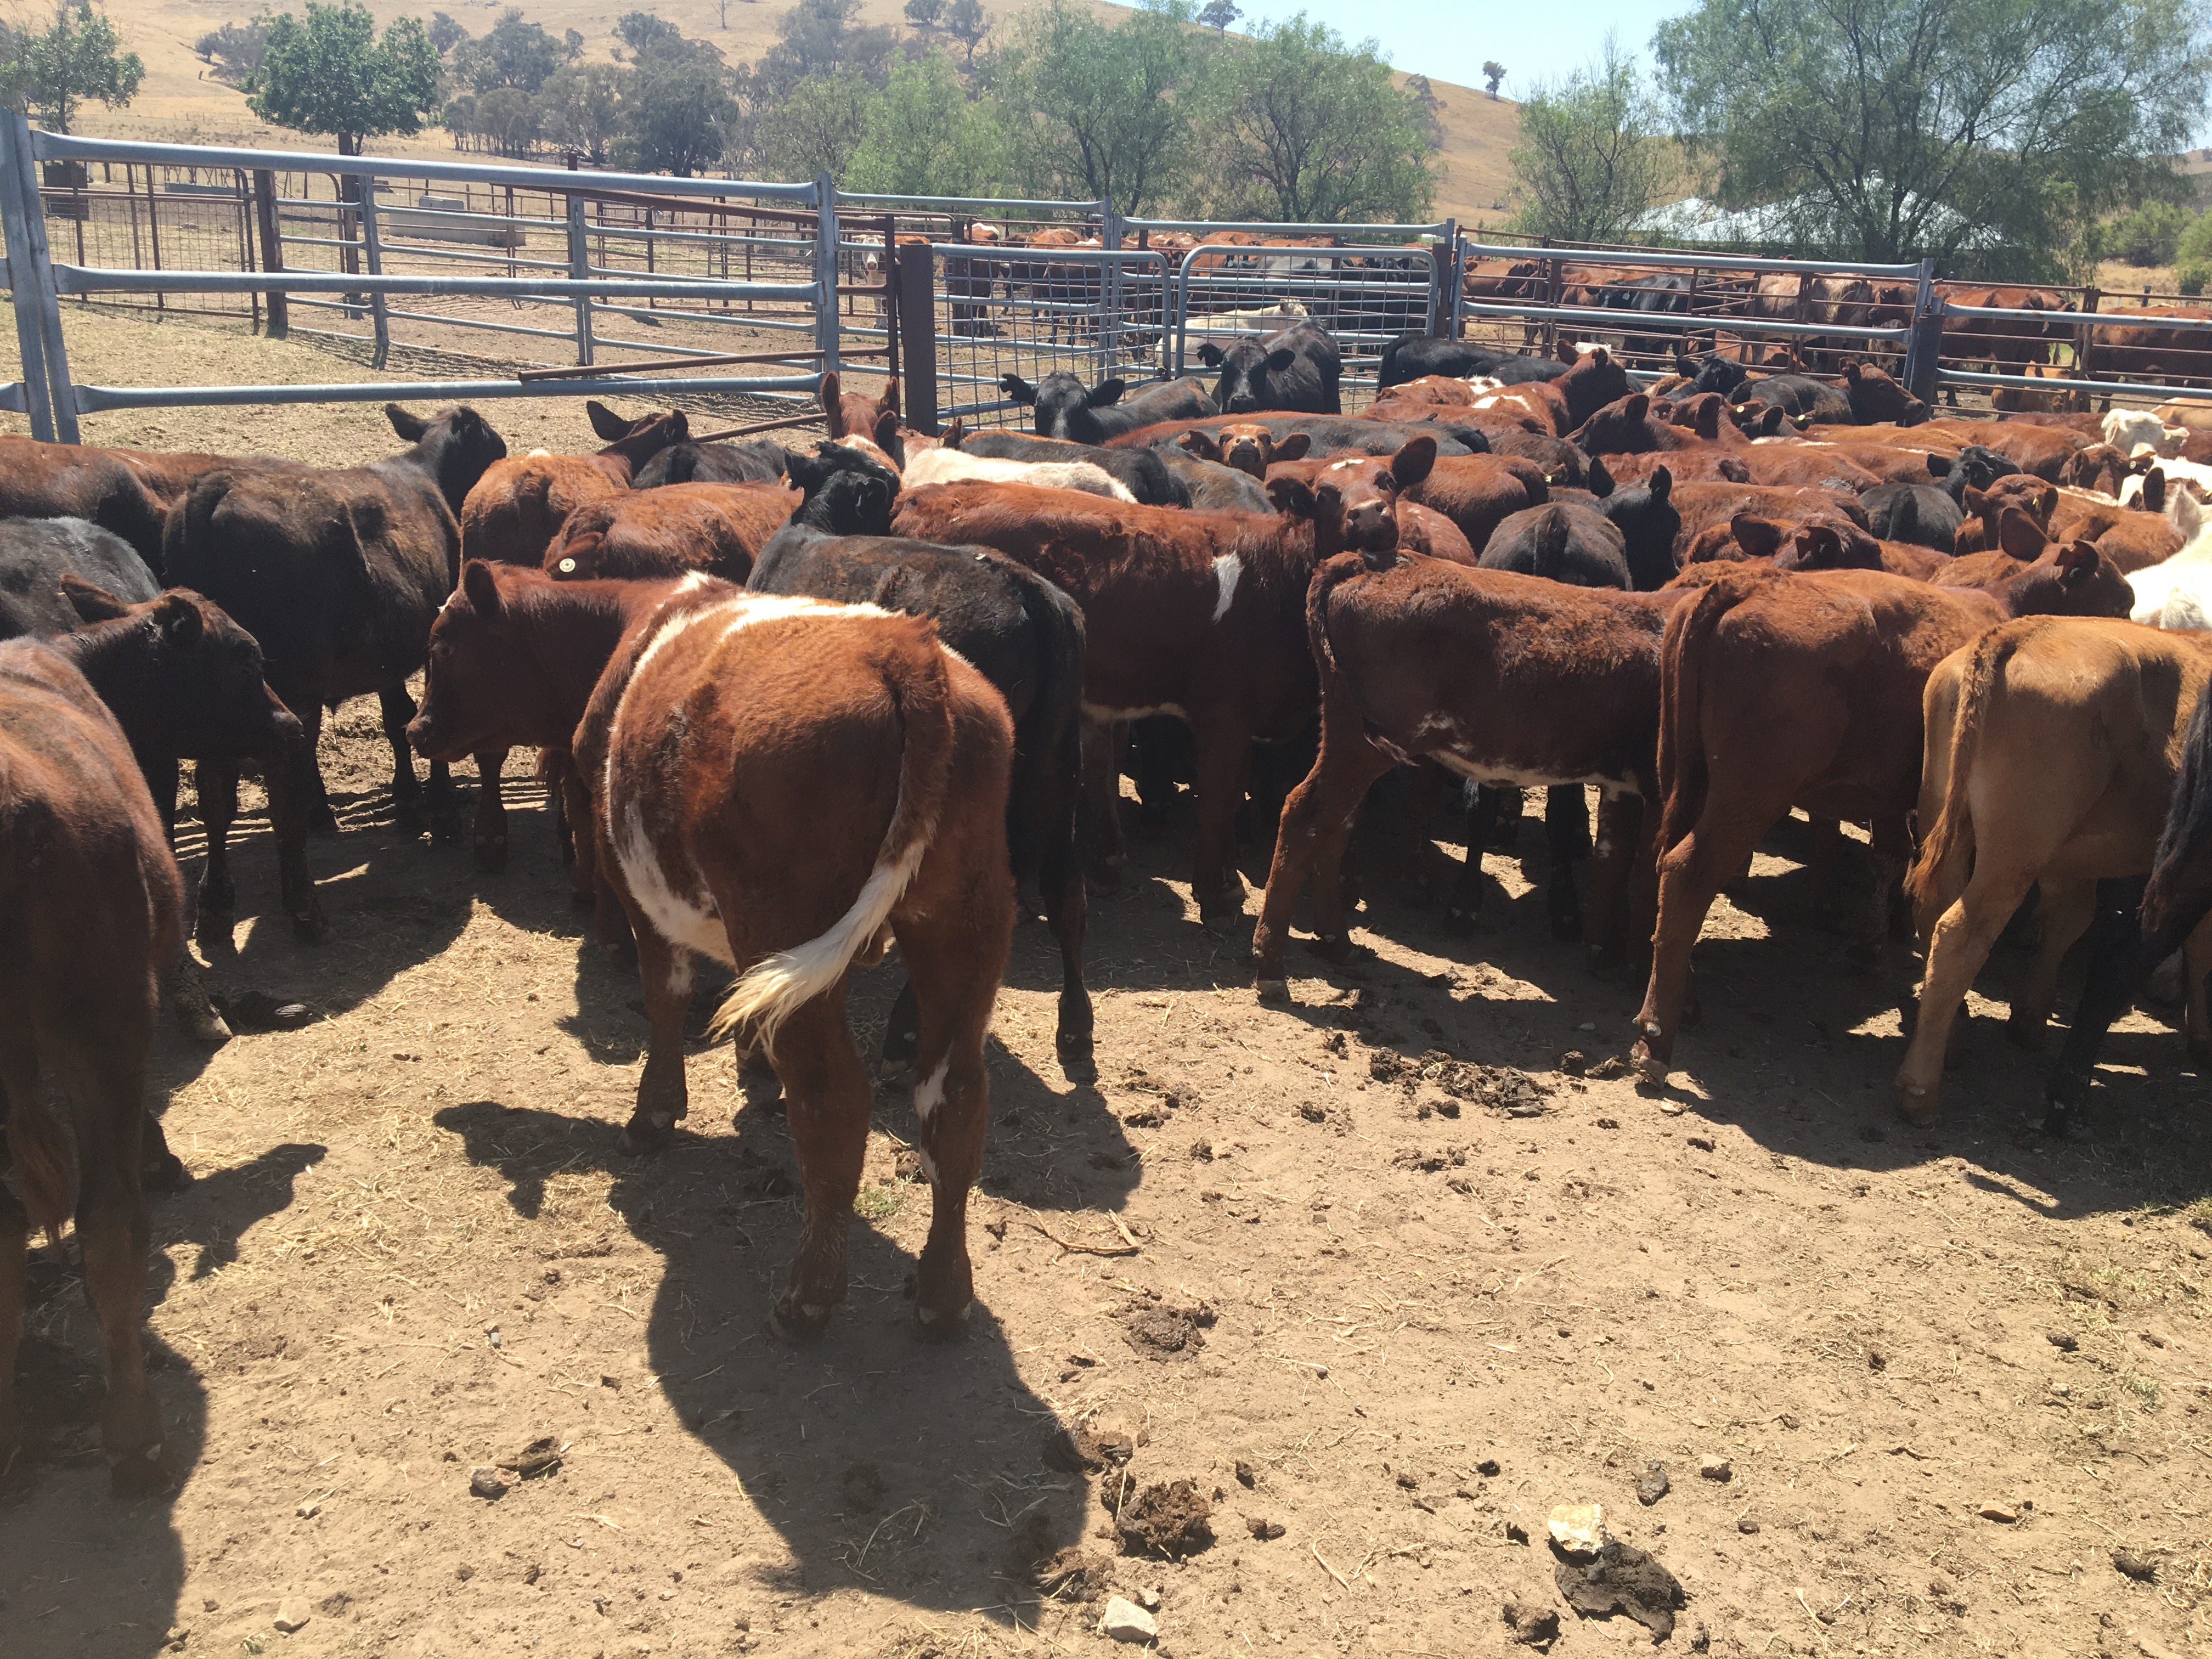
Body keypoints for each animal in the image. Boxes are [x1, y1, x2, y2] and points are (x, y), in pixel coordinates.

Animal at [162, 404, 509, 909]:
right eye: (490, 441)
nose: (505, 453)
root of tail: (211, 490)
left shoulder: (387, 652)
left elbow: (398, 719)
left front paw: (408, 803)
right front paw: (442, 812)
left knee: (216, 791)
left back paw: (219, 892)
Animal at [889, 441, 1434, 923]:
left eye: (1387, 481)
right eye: (1325, 494)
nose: (1369, 517)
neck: (1276, 578)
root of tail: (923, 495)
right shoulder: (1223, 713)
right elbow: (1218, 796)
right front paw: (1215, 894)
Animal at [1629, 551, 2139, 1082]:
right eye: (2119, 603)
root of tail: (1750, 581)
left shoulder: (1890, 798)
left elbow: (1891, 858)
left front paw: (1872, 943)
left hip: (1686, 778)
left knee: (1664, 865)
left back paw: (1684, 1000)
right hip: (1749, 795)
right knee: (1688, 874)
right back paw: (1657, 1037)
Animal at [1899, 618, 2212, 1129]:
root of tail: (2020, 631)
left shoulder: (2072, 863)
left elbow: (2067, 922)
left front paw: (2030, 1018)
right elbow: (2197, 952)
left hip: (1946, 818)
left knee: (1932, 911)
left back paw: (1953, 1040)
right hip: (2013, 853)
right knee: (1960, 935)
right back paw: (1920, 1091)